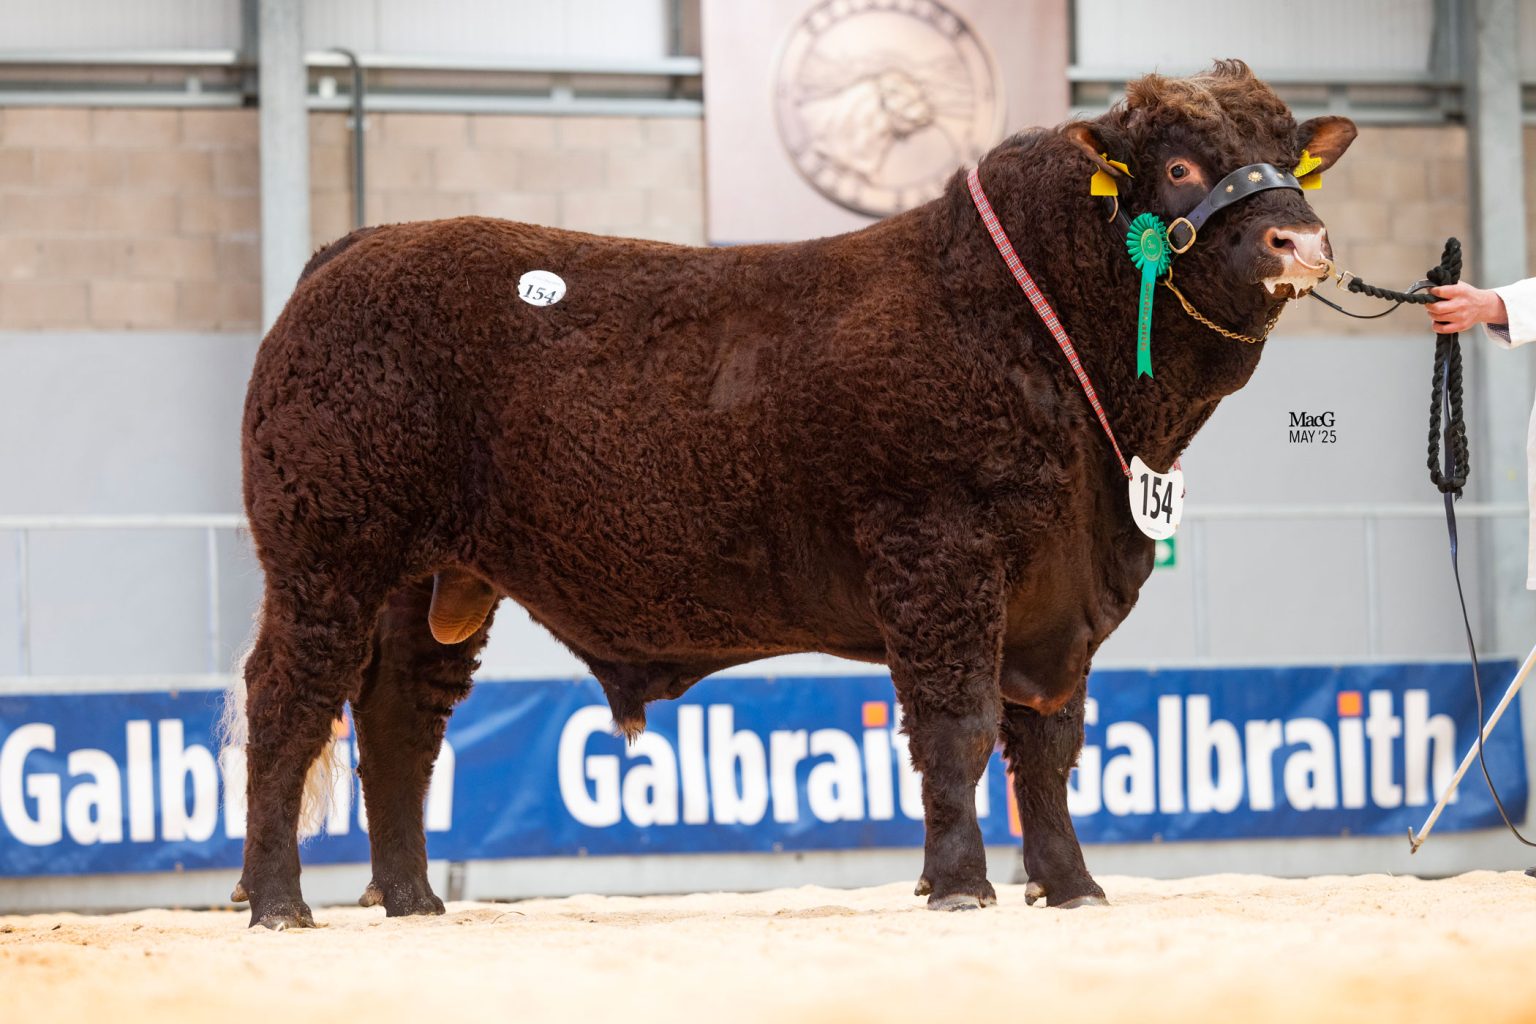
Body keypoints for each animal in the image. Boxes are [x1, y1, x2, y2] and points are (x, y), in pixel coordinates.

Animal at [228, 59, 1355, 928]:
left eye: (1288, 151)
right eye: (1179, 164)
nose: (1303, 243)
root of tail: (354, 250)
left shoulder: (1055, 598)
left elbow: (1048, 745)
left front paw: (1071, 886)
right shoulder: (940, 550)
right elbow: (958, 724)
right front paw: (961, 885)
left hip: (430, 579)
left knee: (398, 720)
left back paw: (413, 899)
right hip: (326, 551)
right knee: (288, 703)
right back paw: (280, 901)